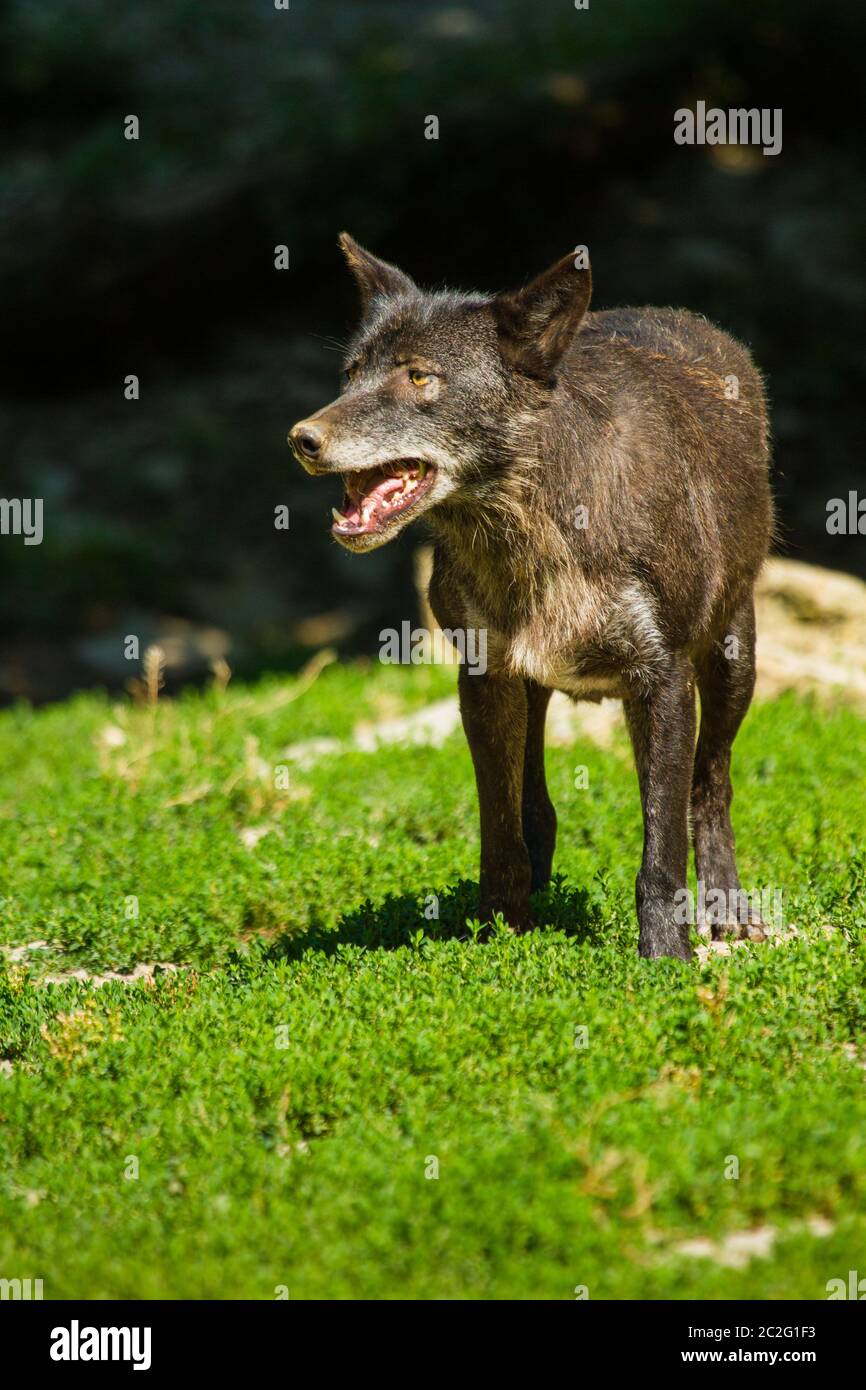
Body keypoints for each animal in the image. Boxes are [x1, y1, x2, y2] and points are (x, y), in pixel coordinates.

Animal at [290, 234, 774, 959]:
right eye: (349, 375)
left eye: (419, 377)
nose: (302, 439)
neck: (535, 537)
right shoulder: (484, 679)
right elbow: (500, 829)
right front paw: (498, 934)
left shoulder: (662, 681)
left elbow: (661, 845)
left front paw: (665, 958)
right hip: (534, 688)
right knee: (537, 808)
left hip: (731, 660)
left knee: (711, 787)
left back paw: (726, 904)